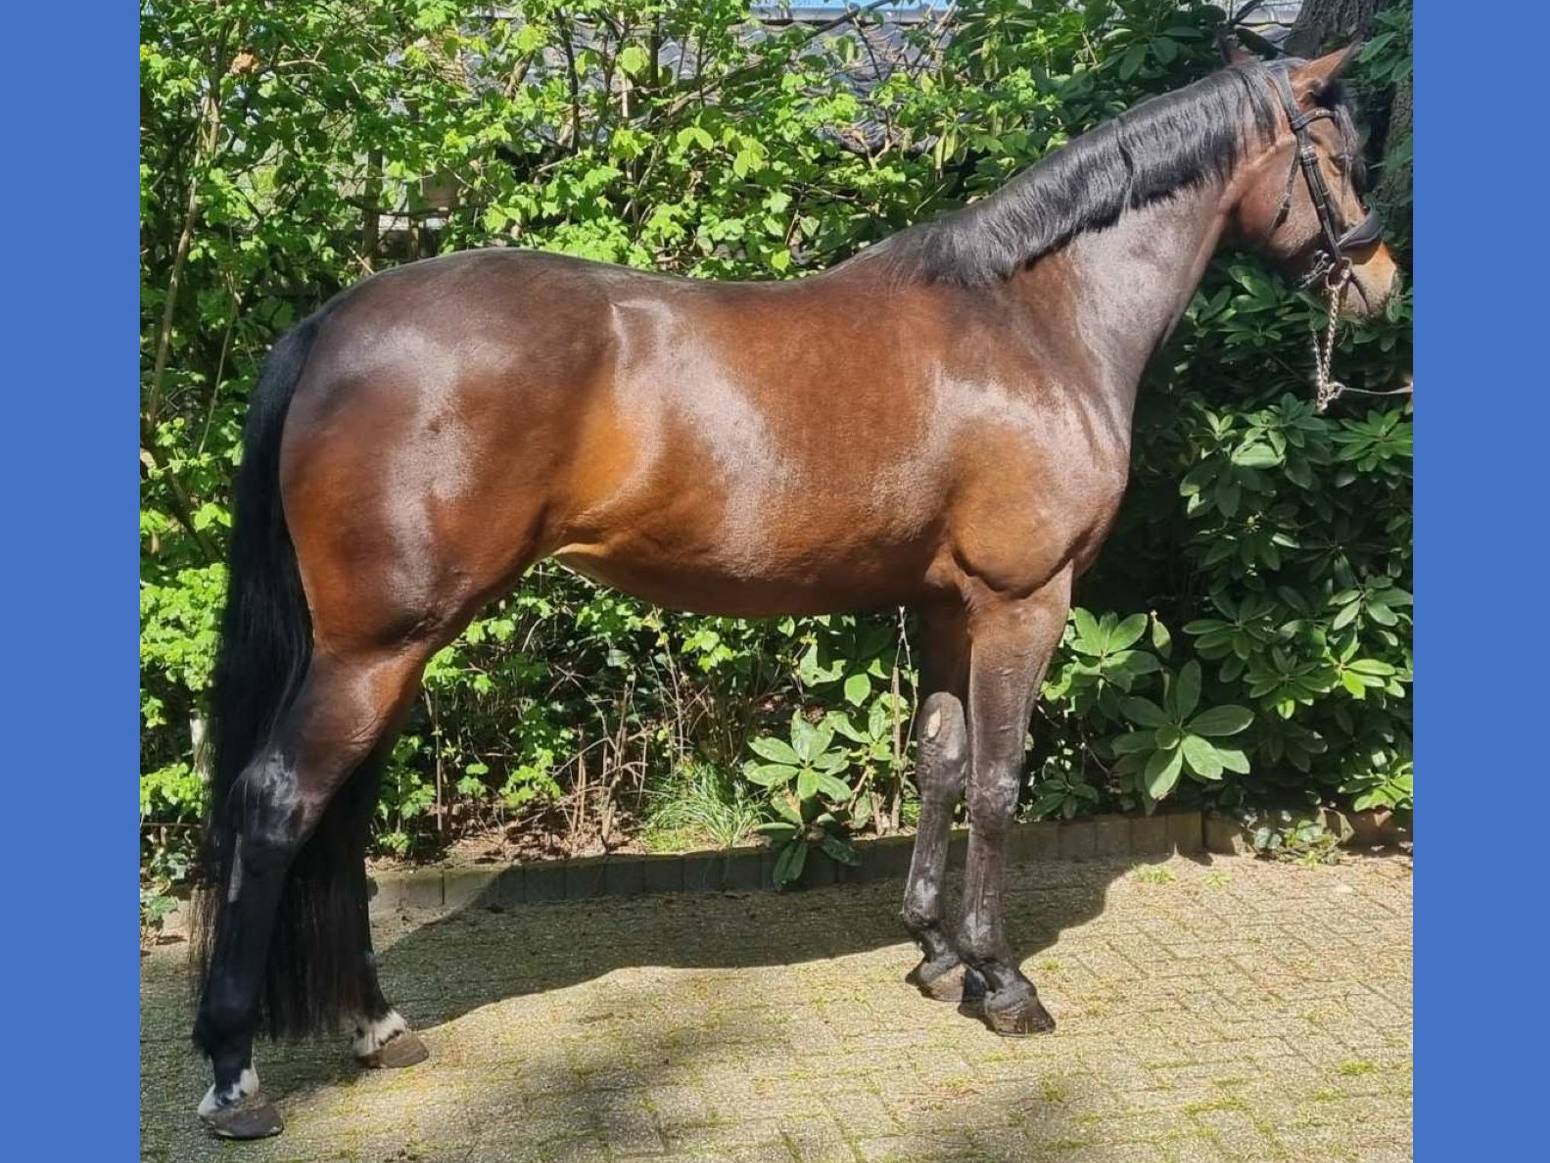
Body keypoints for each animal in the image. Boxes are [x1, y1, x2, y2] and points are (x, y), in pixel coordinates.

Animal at [189, 45, 1399, 1137]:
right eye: (1337, 157)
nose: (1379, 282)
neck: (1031, 320)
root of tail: (330, 326)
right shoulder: (1023, 601)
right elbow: (999, 782)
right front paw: (1001, 980)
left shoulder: (942, 605)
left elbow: (939, 762)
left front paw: (933, 952)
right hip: (377, 647)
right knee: (279, 806)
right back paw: (236, 1076)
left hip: (386, 653)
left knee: (336, 823)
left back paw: (374, 1027)